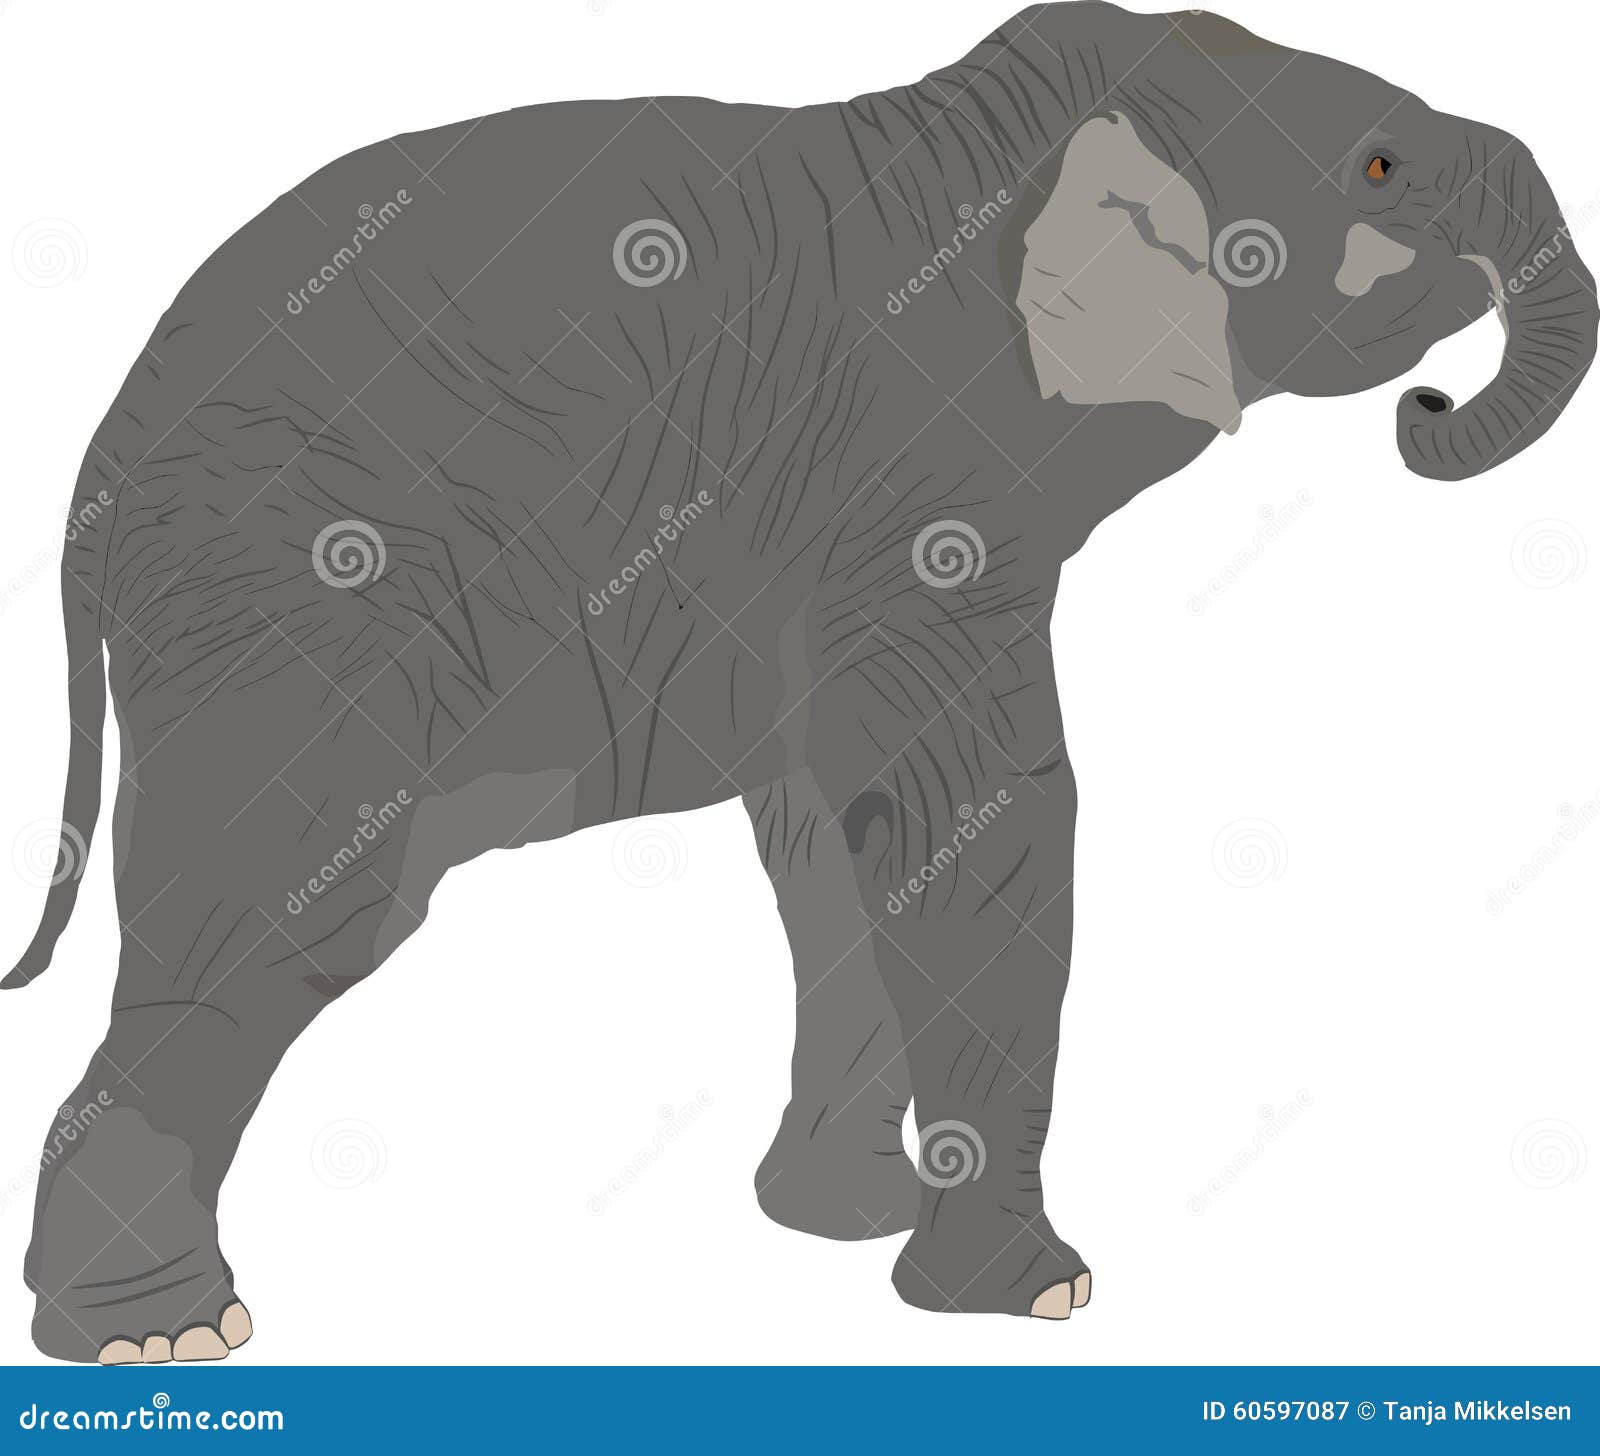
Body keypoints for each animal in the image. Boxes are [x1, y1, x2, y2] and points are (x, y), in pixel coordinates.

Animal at [7, 2, 1593, 1363]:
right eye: (1380, 166)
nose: (1426, 409)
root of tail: (97, 462)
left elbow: (837, 836)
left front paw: (847, 1225)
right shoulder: (919, 474)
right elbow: (983, 811)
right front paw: (1035, 1300)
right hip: (297, 606)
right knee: (288, 904)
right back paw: (163, 1339)